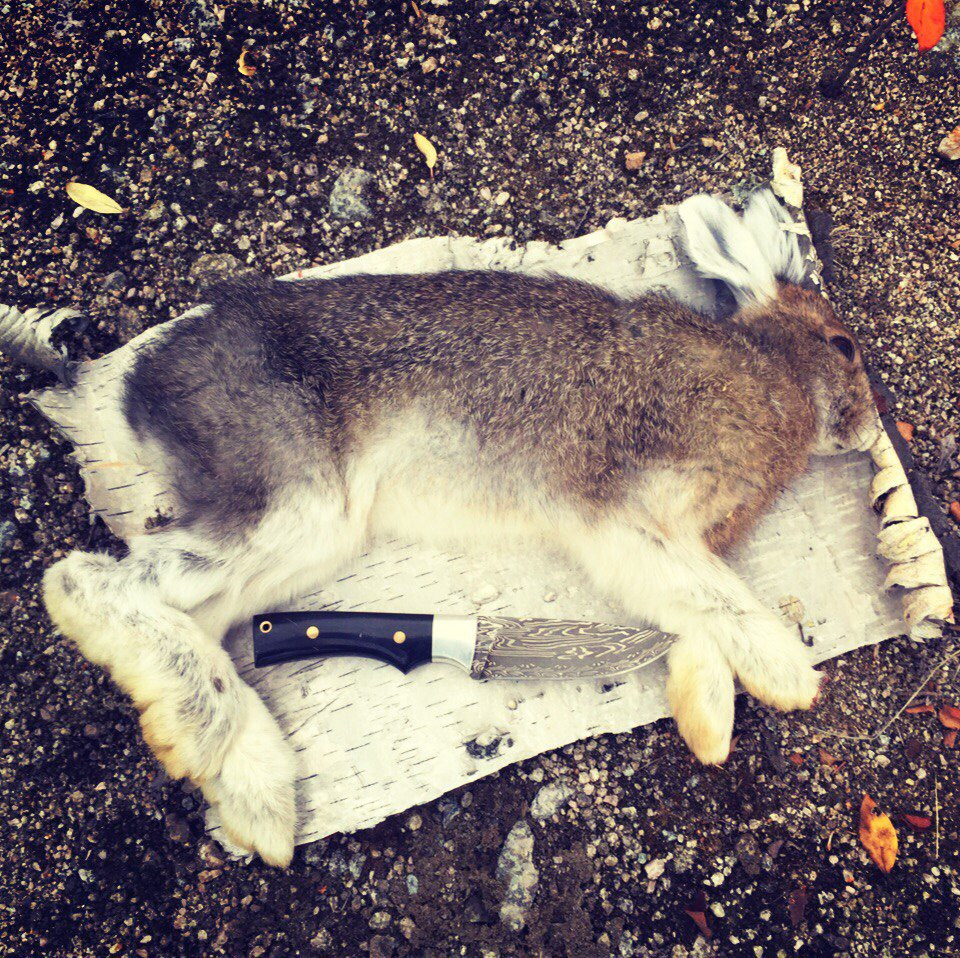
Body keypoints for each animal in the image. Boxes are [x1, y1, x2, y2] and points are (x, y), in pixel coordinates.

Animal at [41, 189, 882, 866]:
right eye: (843, 346)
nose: (872, 429)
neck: (770, 371)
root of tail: (138, 396)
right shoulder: (624, 520)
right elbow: (723, 602)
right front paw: (791, 682)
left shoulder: (654, 543)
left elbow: (695, 620)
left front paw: (707, 725)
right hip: (293, 502)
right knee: (90, 583)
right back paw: (224, 758)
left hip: (308, 541)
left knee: (197, 615)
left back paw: (251, 792)